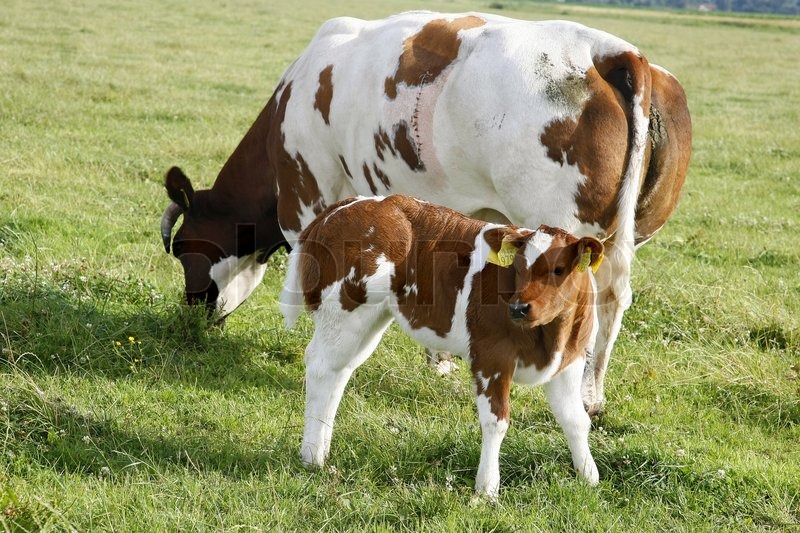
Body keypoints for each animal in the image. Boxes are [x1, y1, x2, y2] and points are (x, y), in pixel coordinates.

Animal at [160, 11, 692, 415]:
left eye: (183, 249)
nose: (191, 315)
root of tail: (613, 53)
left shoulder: (306, 195)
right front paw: (441, 357)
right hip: (619, 238)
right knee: (614, 300)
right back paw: (591, 397)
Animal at [279, 194, 605, 497]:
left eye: (559, 269)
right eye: (518, 267)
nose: (518, 308)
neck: (552, 337)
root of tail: (347, 205)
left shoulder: (570, 360)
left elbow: (575, 420)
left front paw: (589, 477)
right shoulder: (491, 357)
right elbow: (496, 421)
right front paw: (487, 488)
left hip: (368, 320)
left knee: (339, 372)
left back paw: (322, 449)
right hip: (344, 311)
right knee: (321, 367)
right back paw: (311, 456)